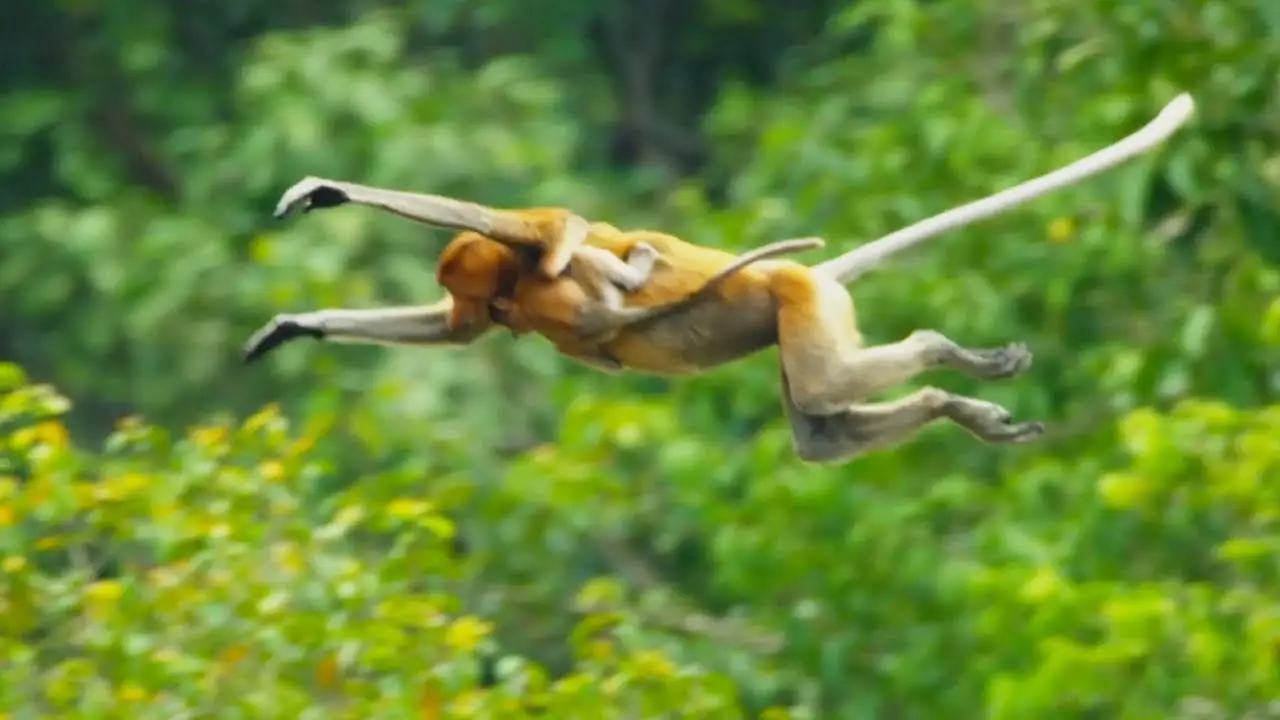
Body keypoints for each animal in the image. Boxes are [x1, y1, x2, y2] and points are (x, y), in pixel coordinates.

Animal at [243, 94, 1195, 462]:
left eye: (466, 283)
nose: (470, 302)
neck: (518, 286)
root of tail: (804, 277)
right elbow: (457, 334)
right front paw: (294, 326)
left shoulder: (533, 253)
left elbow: (518, 226)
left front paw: (324, 192)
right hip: (797, 316)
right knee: (821, 429)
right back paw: (958, 408)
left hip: (799, 299)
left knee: (830, 384)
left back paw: (944, 356)